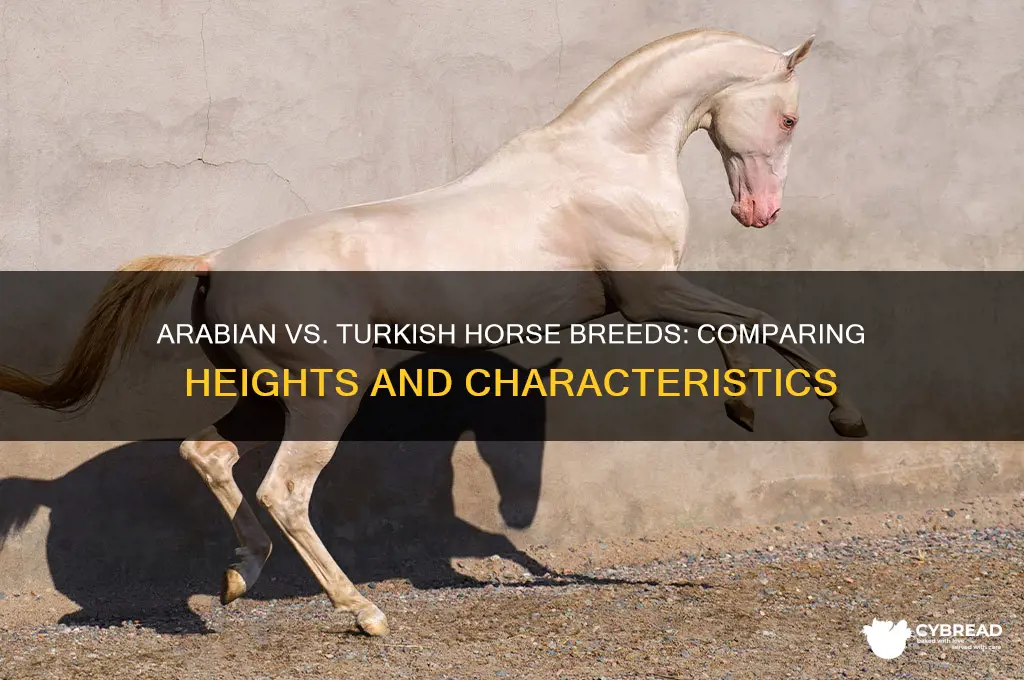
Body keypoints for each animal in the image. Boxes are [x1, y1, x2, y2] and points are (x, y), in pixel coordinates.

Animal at [0, 28, 867, 637]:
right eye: (789, 116)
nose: (760, 214)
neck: (604, 160)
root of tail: (215, 261)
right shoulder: (650, 292)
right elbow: (767, 322)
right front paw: (838, 415)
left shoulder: (652, 297)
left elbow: (746, 328)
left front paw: (745, 408)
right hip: (325, 397)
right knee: (284, 491)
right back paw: (364, 613)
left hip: (263, 392)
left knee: (207, 455)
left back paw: (242, 576)